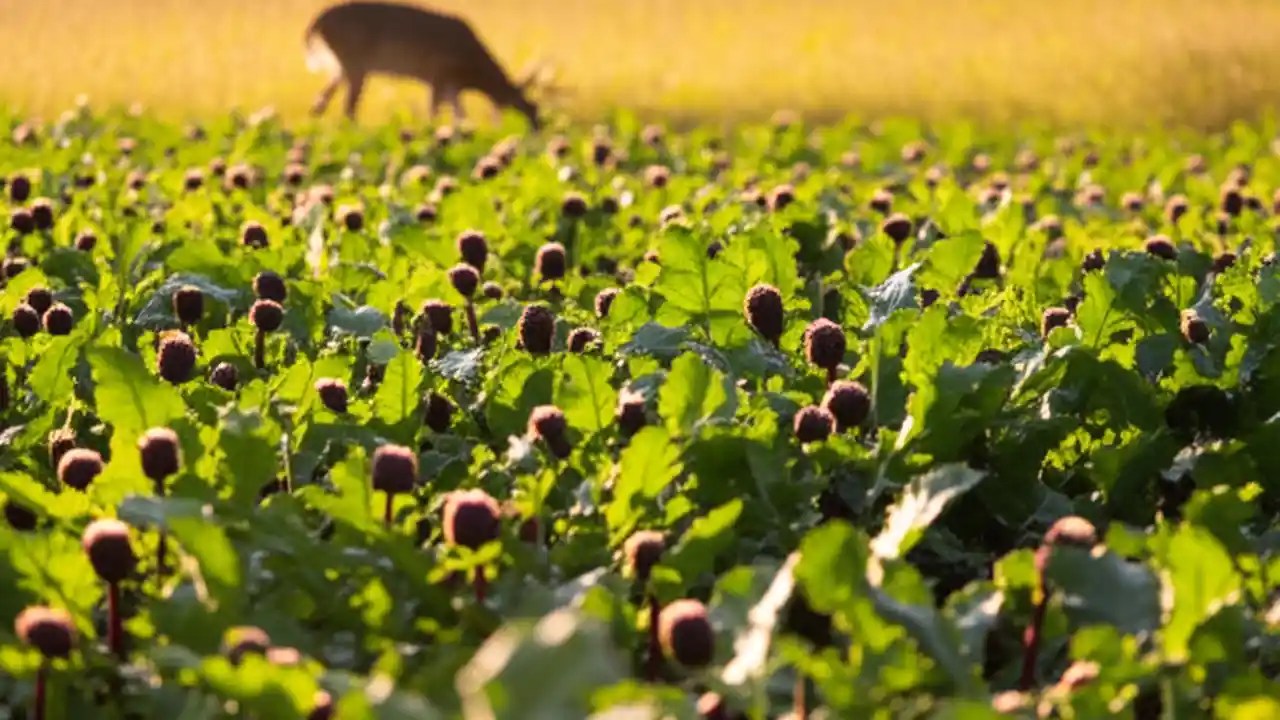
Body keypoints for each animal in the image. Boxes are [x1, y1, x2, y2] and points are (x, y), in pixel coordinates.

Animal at [303, 1, 545, 129]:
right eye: (531, 109)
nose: (539, 128)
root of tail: (318, 22)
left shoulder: (451, 86)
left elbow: (460, 116)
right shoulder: (438, 76)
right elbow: (435, 114)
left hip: (344, 66)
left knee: (322, 101)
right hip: (354, 63)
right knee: (348, 108)